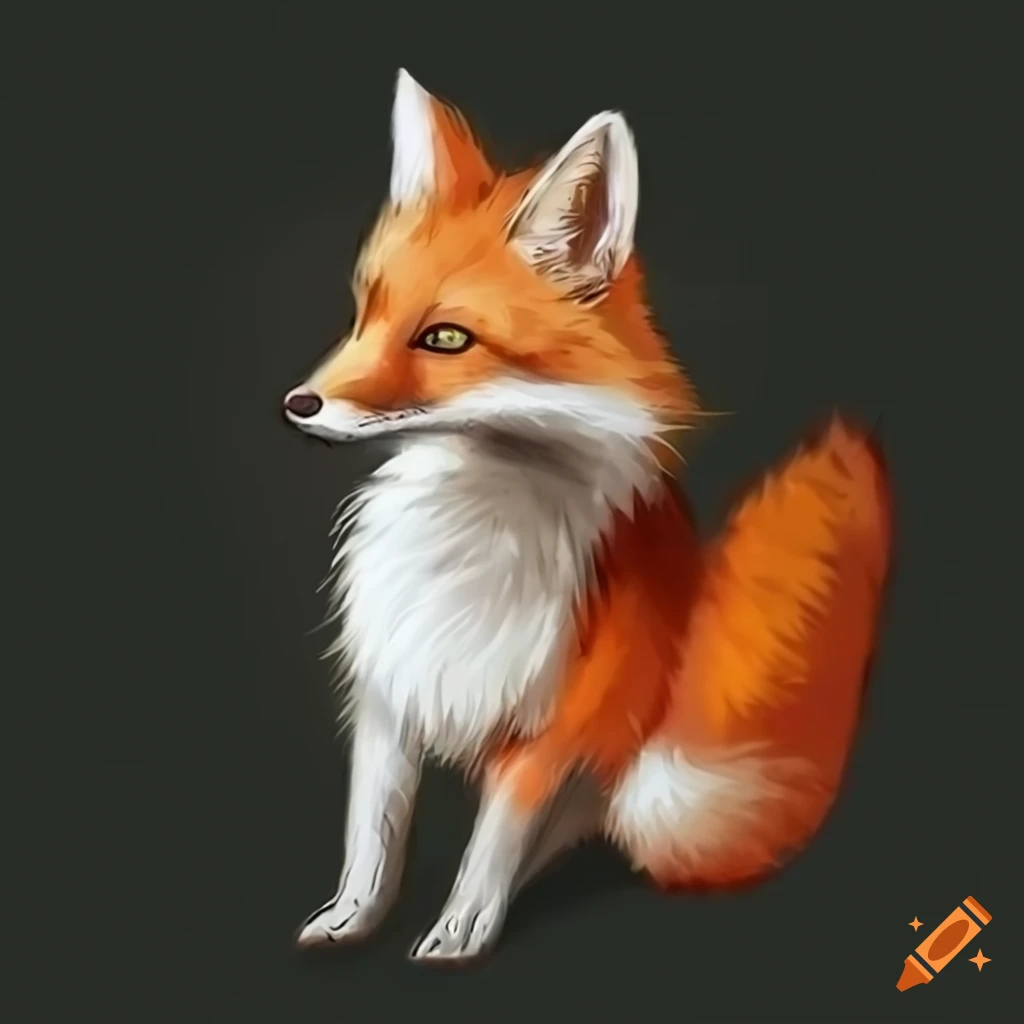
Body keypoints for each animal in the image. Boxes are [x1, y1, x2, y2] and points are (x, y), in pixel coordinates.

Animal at [282, 69, 892, 965]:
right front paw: (349, 918)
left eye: (445, 338)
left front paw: (461, 930)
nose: (299, 403)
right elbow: (372, 834)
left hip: (645, 788)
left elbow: (492, 841)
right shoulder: (390, 694)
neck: (473, 535)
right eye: (365, 313)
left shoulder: (555, 719)